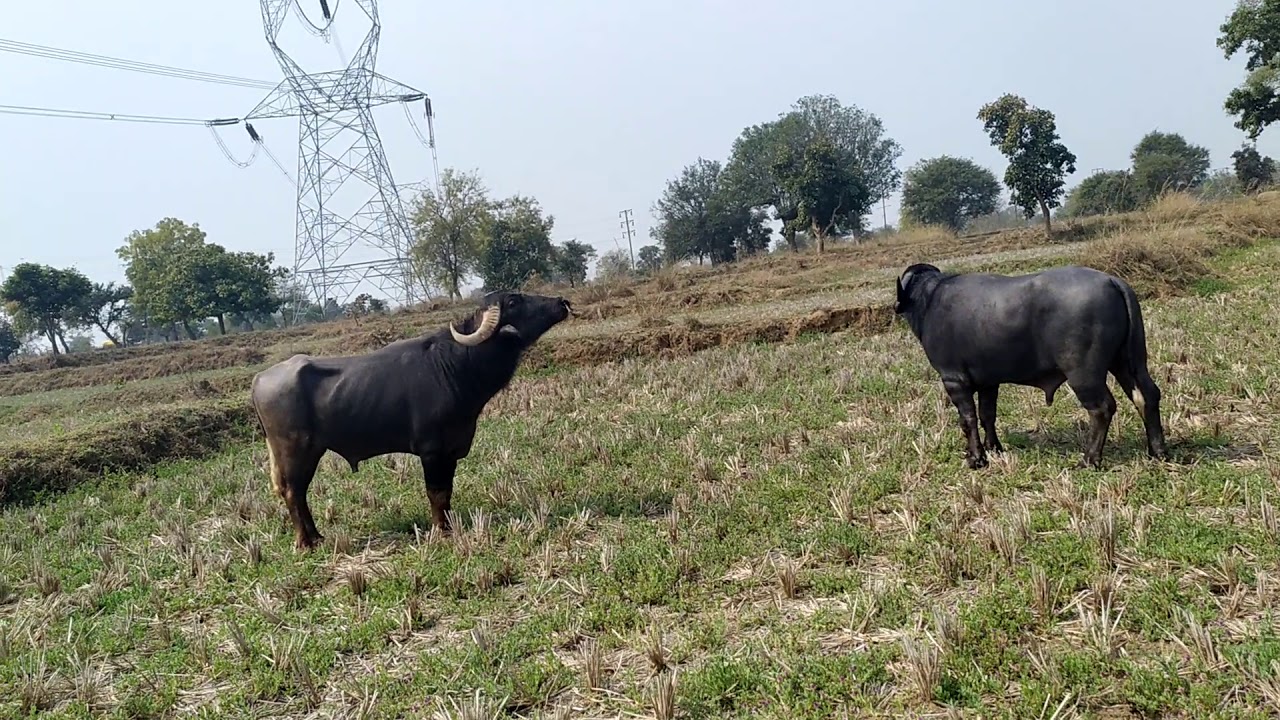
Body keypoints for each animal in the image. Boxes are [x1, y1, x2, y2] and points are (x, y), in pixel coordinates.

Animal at [250, 290, 573, 550]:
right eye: (515, 301)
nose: (562, 302)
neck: (455, 365)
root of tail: (260, 379)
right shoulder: (432, 451)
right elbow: (436, 494)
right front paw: (441, 530)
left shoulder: (451, 451)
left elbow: (447, 492)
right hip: (295, 451)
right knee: (293, 492)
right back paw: (304, 542)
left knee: (299, 493)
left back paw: (317, 537)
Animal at [894, 263, 1168, 470]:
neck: (930, 300)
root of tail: (1112, 281)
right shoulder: (989, 382)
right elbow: (987, 415)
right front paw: (994, 448)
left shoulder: (954, 380)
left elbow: (968, 419)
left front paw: (976, 458)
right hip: (1129, 362)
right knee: (1147, 395)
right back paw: (1157, 450)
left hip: (1084, 374)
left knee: (1102, 408)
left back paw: (1089, 459)